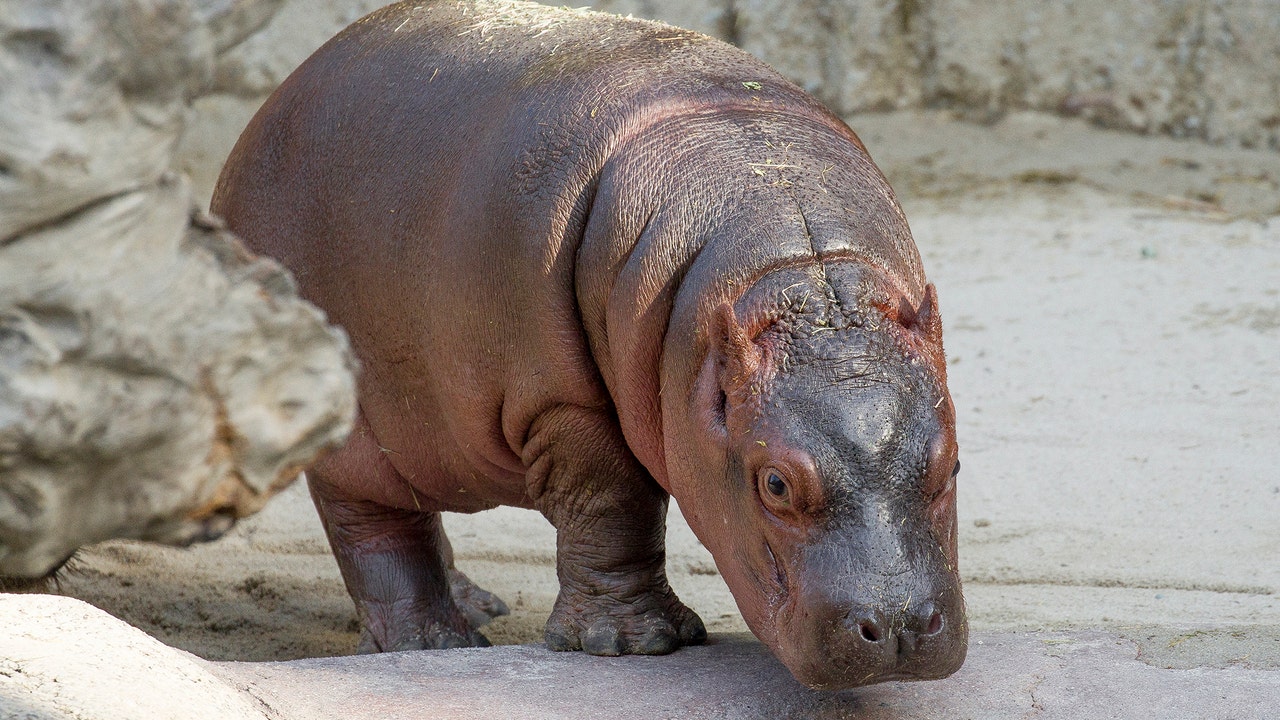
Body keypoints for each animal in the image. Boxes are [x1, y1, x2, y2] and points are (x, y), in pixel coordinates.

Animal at [212, 0, 965, 689]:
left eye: (954, 464)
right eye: (775, 483)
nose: (897, 627)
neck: (792, 269)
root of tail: (269, 108)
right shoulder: (564, 402)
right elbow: (613, 505)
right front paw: (636, 644)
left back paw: (478, 607)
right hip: (355, 417)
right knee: (372, 525)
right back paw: (432, 645)